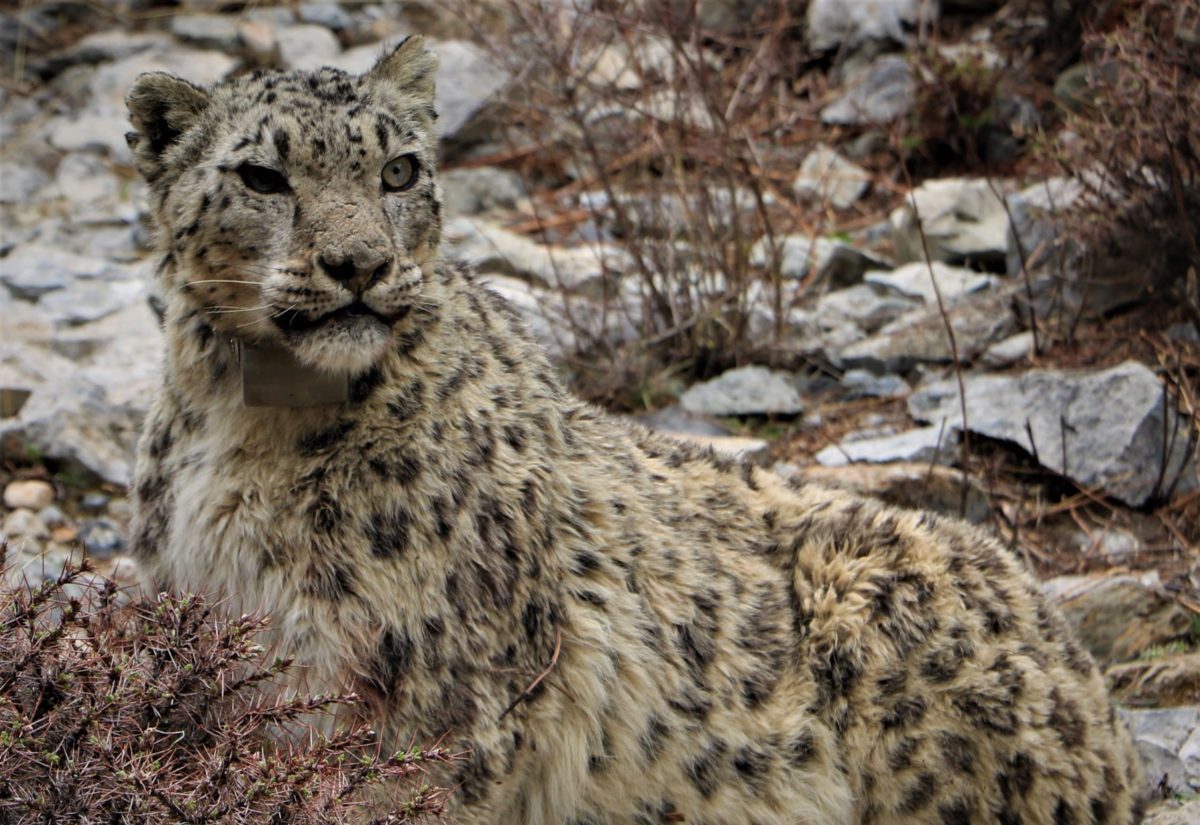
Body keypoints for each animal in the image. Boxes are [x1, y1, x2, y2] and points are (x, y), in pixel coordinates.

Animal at [126, 37, 1145, 824]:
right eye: (262, 176)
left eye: (399, 169)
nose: (360, 264)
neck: (246, 422)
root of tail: (1108, 718)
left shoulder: (441, 694)